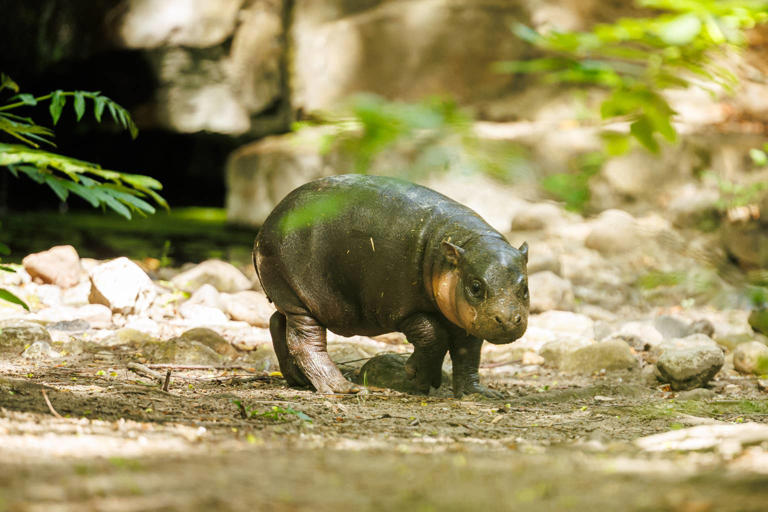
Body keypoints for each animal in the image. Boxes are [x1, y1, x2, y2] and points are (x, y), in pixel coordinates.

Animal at [253, 174, 529, 397]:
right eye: (475, 286)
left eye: (525, 287)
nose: (508, 319)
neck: (463, 244)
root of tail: (267, 222)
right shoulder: (400, 309)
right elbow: (434, 336)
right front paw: (417, 378)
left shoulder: (463, 320)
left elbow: (468, 353)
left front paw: (479, 394)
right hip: (300, 296)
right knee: (305, 341)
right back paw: (342, 387)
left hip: (289, 296)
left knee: (277, 323)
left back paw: (299, 380)